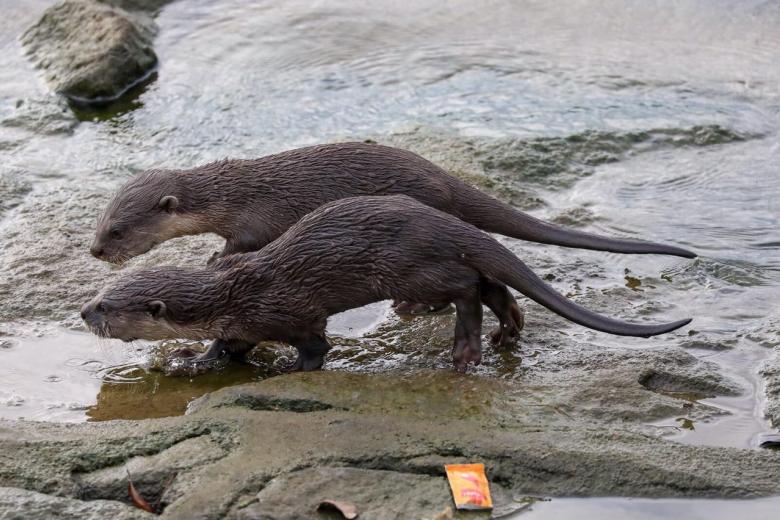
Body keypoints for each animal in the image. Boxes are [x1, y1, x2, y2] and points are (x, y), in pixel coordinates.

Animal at [81, 196, 691, 372]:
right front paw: (195, 361)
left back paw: (465, 350)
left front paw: (290, 370)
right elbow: (227, 347)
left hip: (413, 266)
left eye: (108, 306)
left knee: (468, 288)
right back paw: (507, 333)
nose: (84, 314)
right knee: (490, 283)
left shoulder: (290, 312)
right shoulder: (241, 322)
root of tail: (446, 222)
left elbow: (314, 347)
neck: (231, 295)